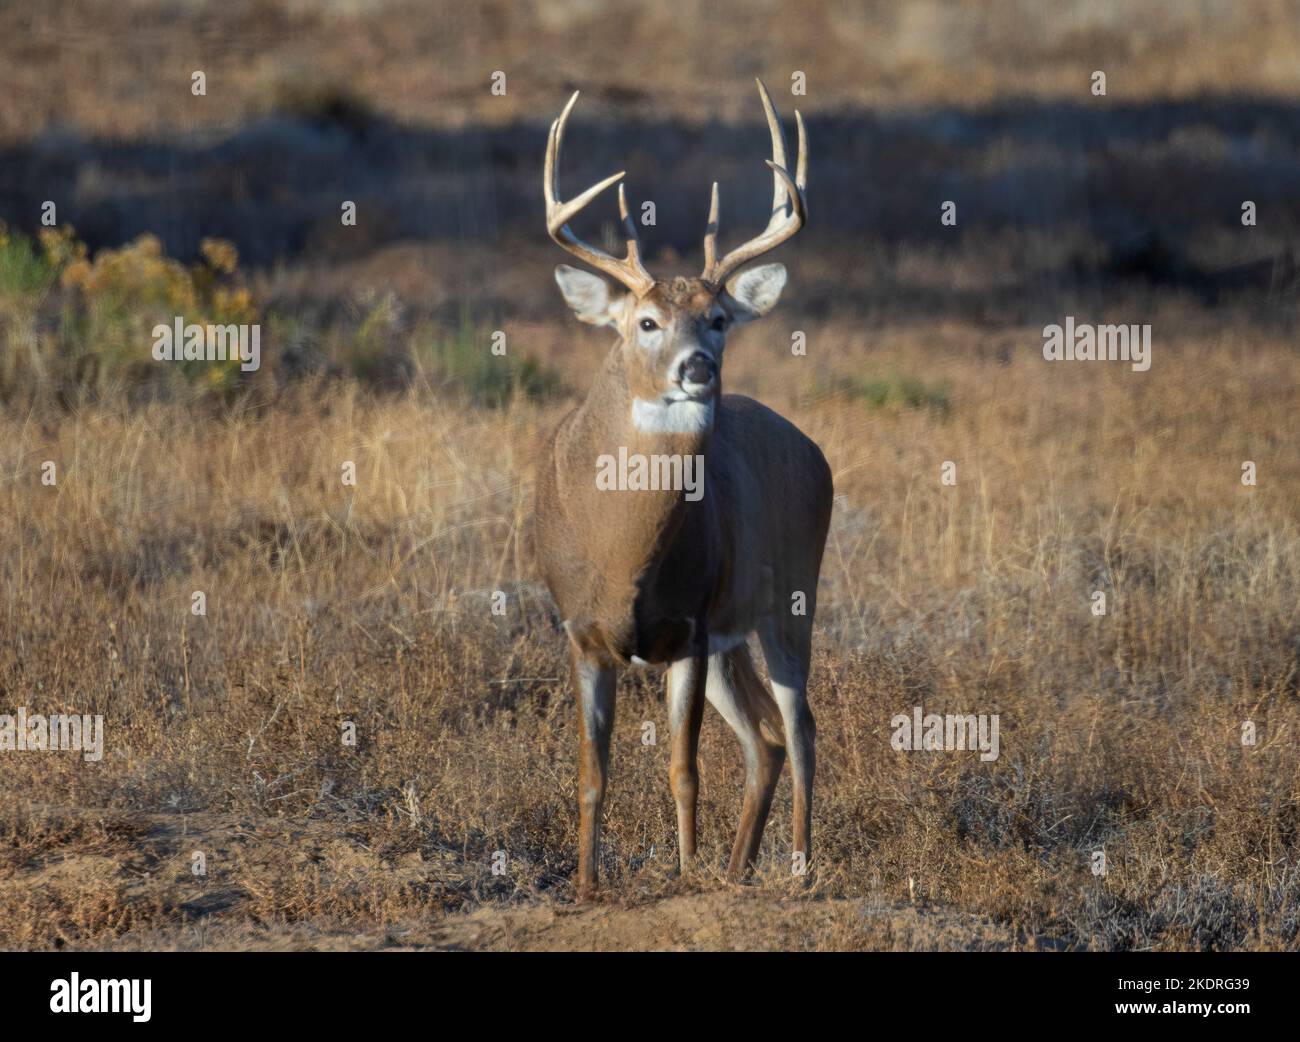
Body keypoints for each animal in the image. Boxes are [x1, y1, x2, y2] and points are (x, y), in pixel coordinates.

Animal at [534, 80, 833, 898]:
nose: (697, 365)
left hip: (791, 598)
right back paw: (739, 870)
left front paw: (686, 874)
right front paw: (585, 888)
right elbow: (591, 775)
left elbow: (683, 769)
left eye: (720, 317)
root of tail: (814, 451)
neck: (624, 552)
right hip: (737, 634)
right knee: (766, 737)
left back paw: (795, 871)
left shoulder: (690, 629)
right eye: (645, 321)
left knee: (800, 727)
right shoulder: (581, 632)